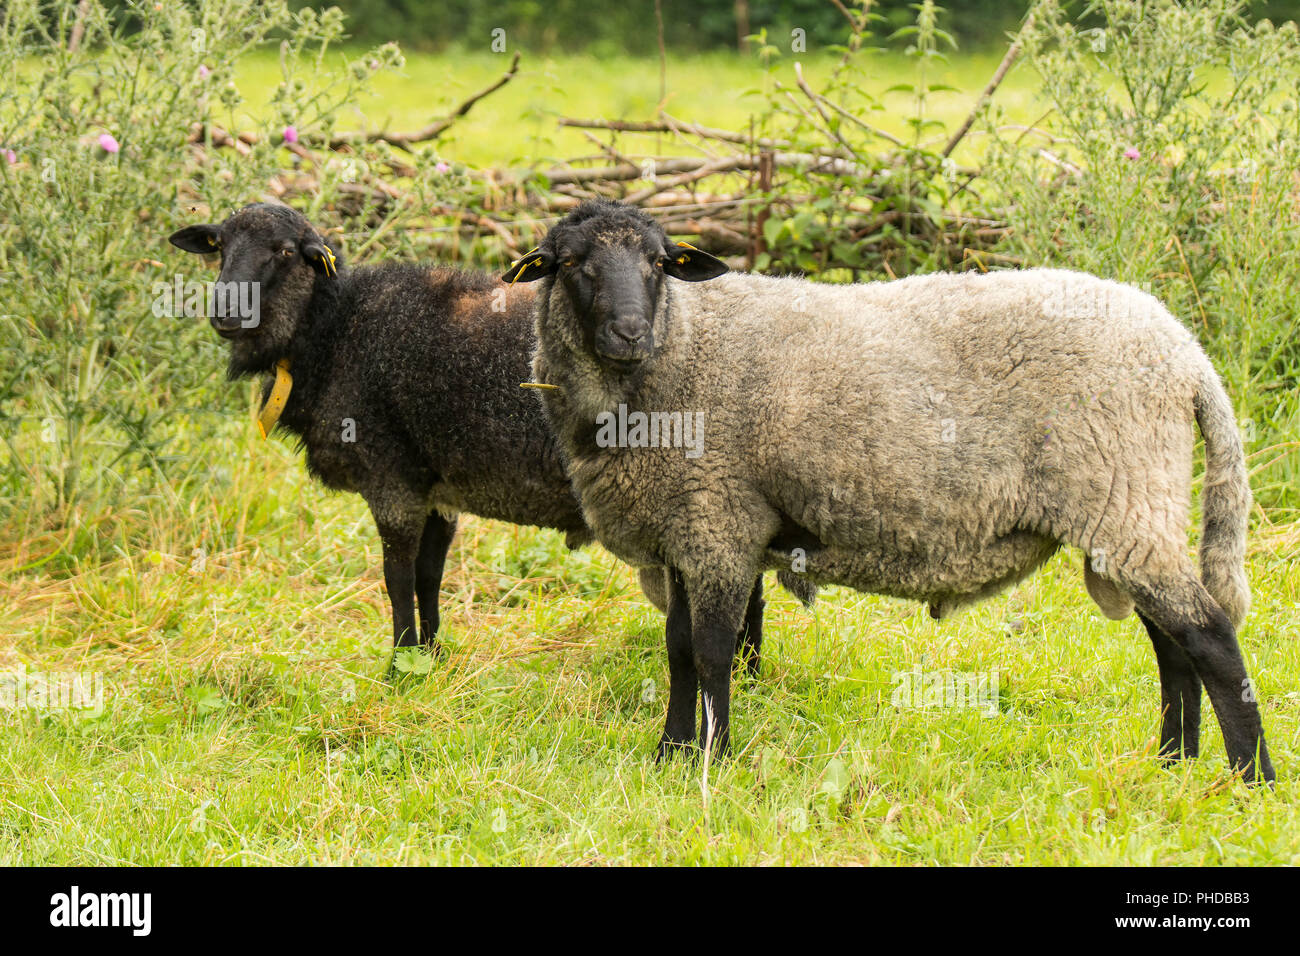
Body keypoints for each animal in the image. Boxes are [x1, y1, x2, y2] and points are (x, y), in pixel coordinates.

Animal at [167, 202, 790, 673]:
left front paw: (398, 665)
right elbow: (428, 575)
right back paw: (749, 676)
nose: (225, 312)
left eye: (283, 251)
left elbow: (396, 578)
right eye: (219, 245)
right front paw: (431, 654)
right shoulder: (437, 485)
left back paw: (744, 676)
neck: (332, 328)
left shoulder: (390, 479)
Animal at [507, 198, 1274, 784]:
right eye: (571, 263)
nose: (629, 331)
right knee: (1173, 644)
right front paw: (670, 754)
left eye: (659, 262)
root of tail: (1187, 356)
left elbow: (712, 652)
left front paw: (714, 761)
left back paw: (1247, 779)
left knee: (1210, 638)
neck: (679, 350)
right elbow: (676, 651)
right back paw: (1173, 765)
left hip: (1128, 495)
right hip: (1132, 511)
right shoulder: (680, 534)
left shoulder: (718, 523)